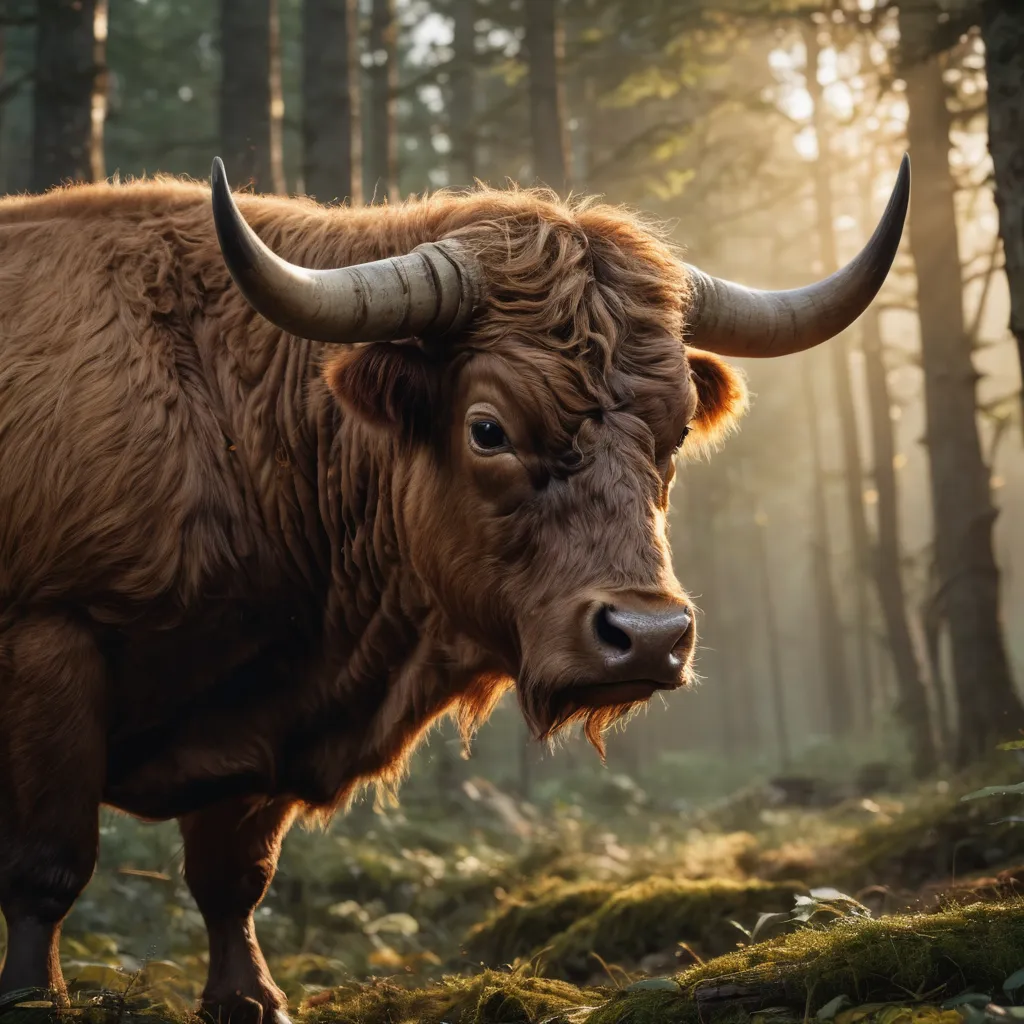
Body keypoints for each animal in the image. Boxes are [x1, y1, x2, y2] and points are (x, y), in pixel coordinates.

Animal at [0, 154, 909, 1022]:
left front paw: (252, 999)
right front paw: (35, 999)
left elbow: (234, 877)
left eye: (678, 431)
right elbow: (48, 866)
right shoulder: (51, 648)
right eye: (488, 428)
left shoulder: (252, 725)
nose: (648, 636)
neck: (233, 414)